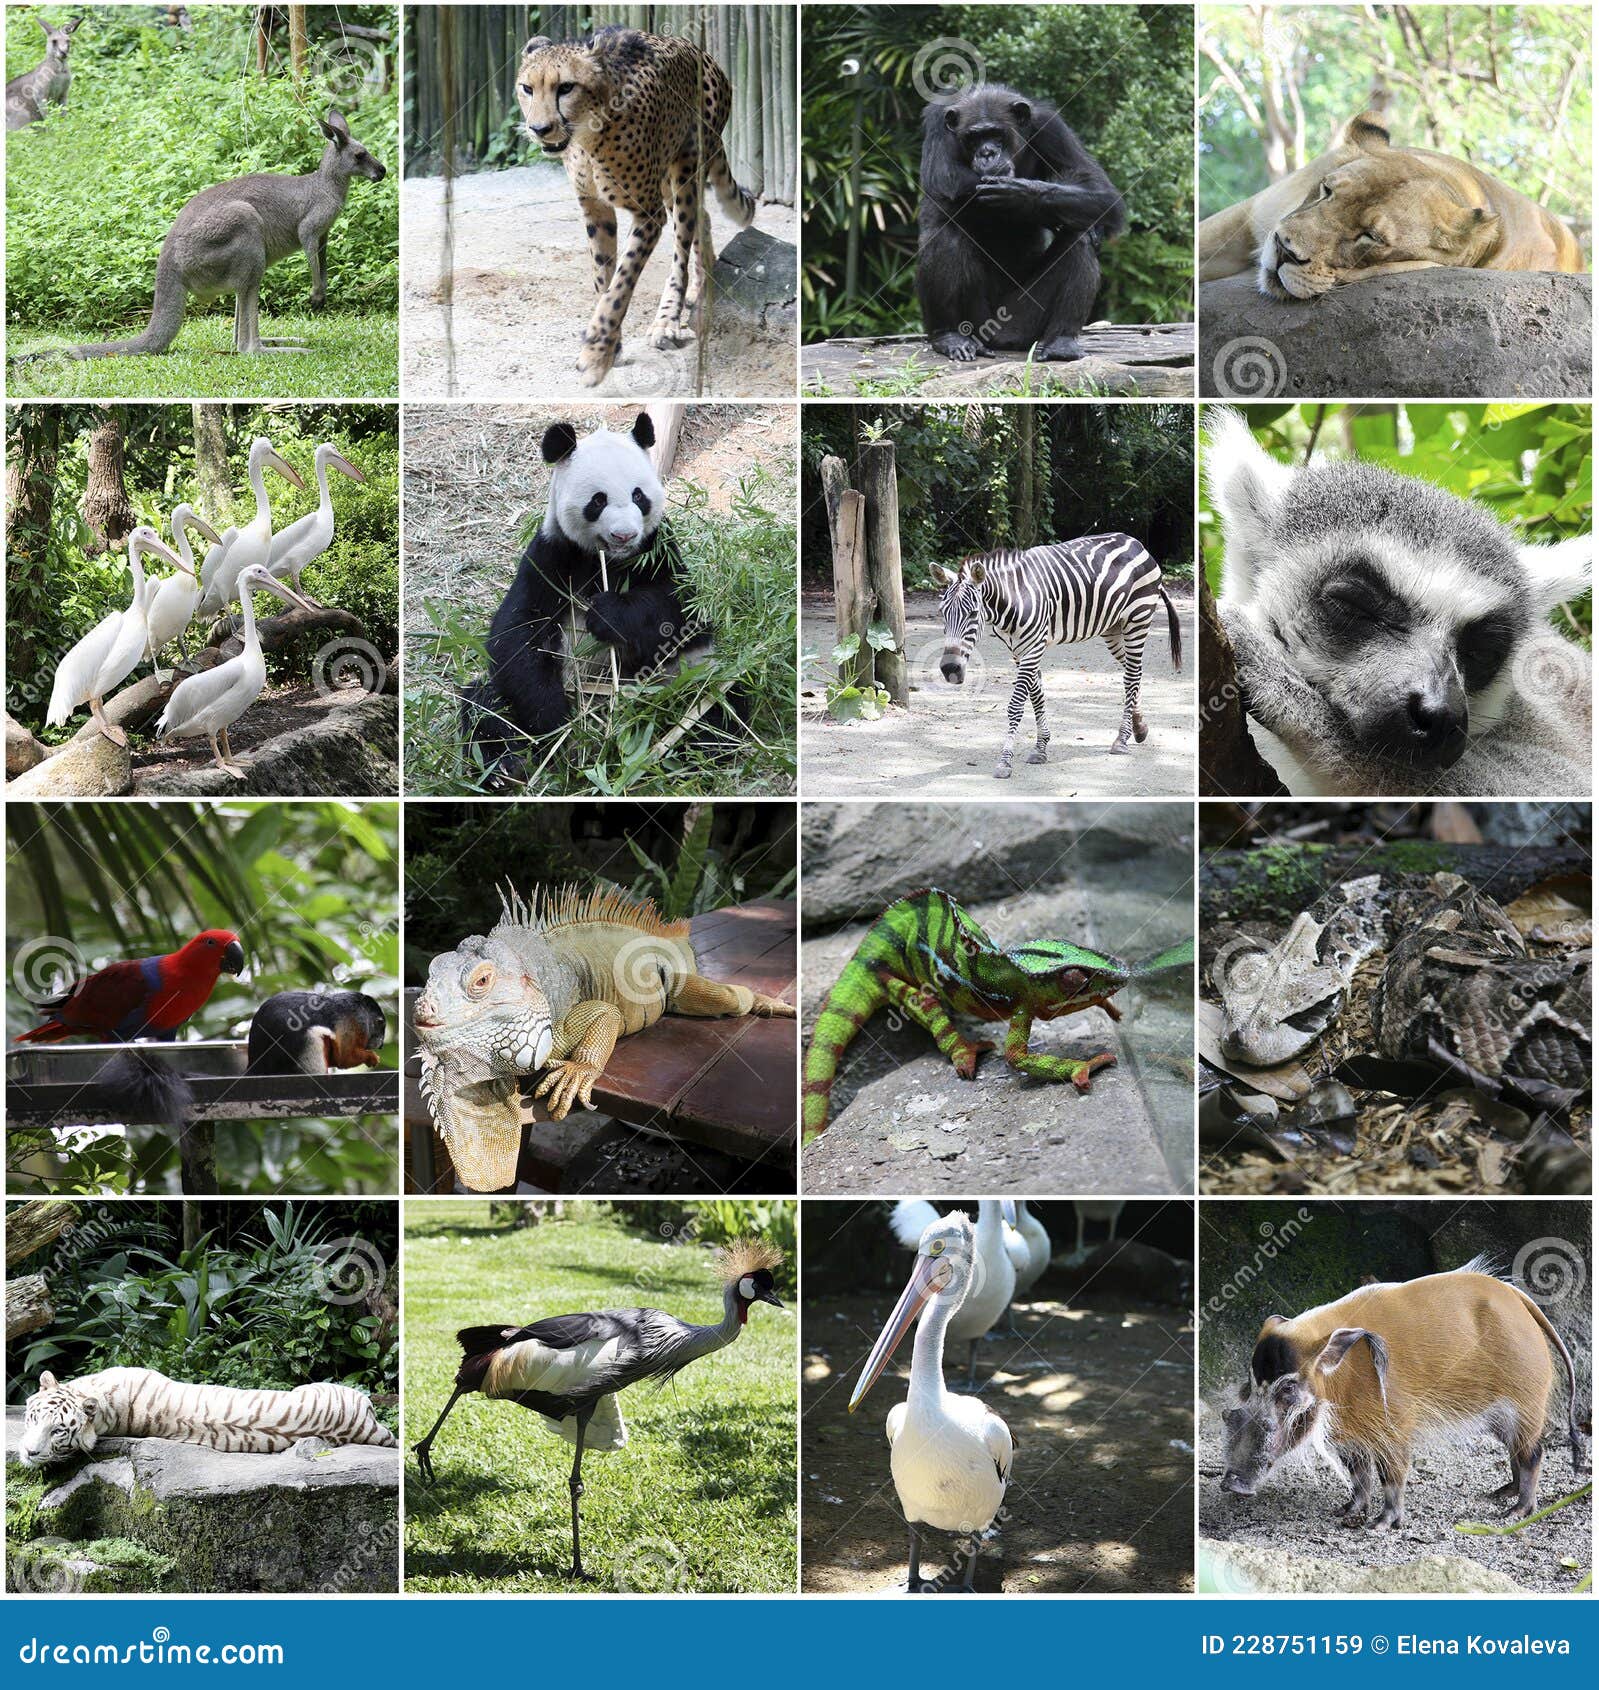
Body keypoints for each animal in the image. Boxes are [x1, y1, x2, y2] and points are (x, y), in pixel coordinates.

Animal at [932, 534, 1183, 779]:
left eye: (973, 613)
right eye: (942, 613)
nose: (950, 669)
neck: (1013, 599)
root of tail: (1136, 542)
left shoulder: (1033, 647)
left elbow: (1016, 705)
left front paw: (1005, 761)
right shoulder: (1019, 651)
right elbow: (1037, 696)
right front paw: (1041, 748)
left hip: (1137, 619)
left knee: (1131, 676)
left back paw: (1121, 739)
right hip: (1113, 629)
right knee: (1135, 672)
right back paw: (1139, 728)